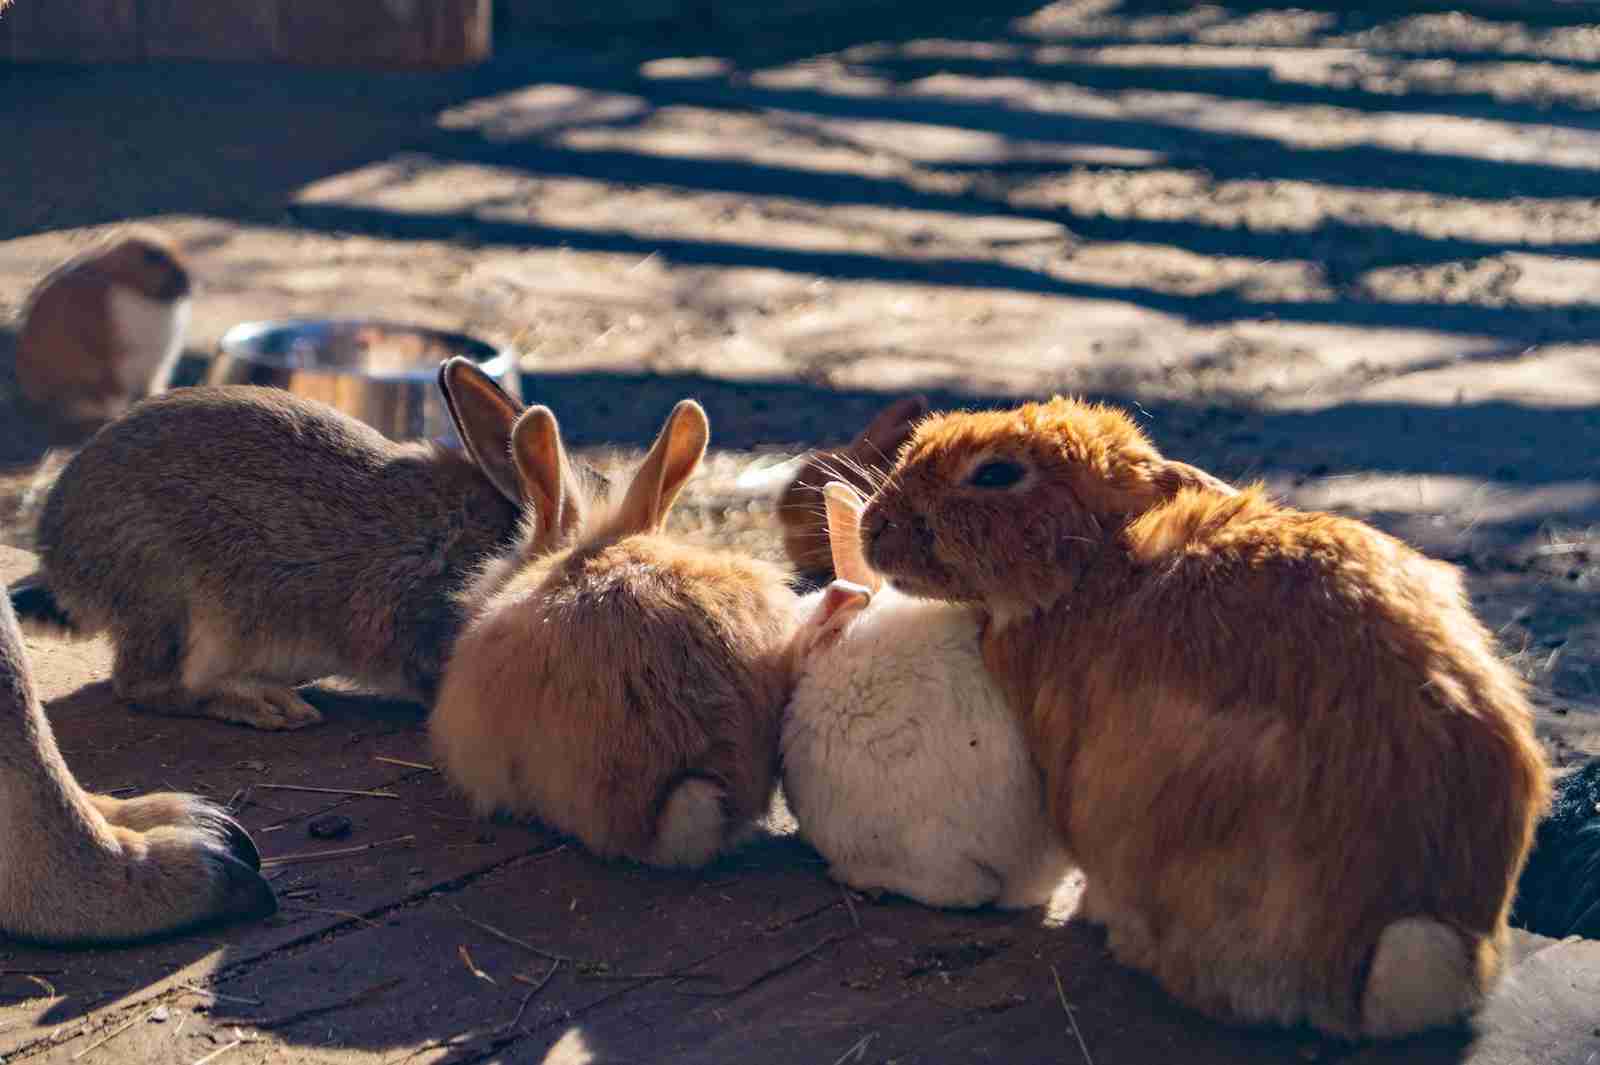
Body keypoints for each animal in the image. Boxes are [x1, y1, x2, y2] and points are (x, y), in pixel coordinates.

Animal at [14, 226, 193, 442]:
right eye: (153, 256)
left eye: (181, 249)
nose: (189, 283)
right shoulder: (114, 369)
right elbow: (115, 399)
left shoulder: (155, 369)